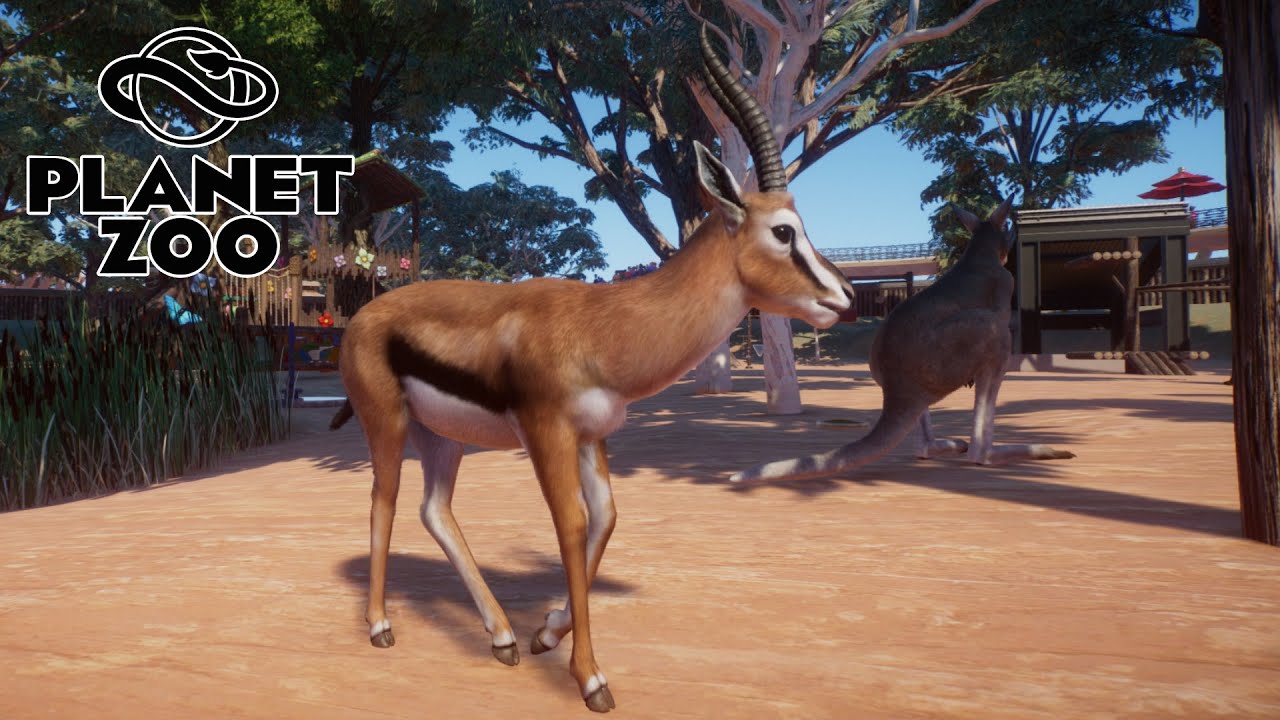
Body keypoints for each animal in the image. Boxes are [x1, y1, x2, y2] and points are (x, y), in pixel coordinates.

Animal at [329, 27, 854, 713]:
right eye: (785, 231)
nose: (845, 297)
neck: (604, 325)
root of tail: (364, 315)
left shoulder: (590, 435)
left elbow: (606, 517)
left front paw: (546, 635)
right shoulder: (547, 433)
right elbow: (572, 524)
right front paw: (591, 679)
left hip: (443, 437)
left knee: (433, 510)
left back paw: (502, 639)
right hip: (387, 424)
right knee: (383, 499)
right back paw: (381, 626)